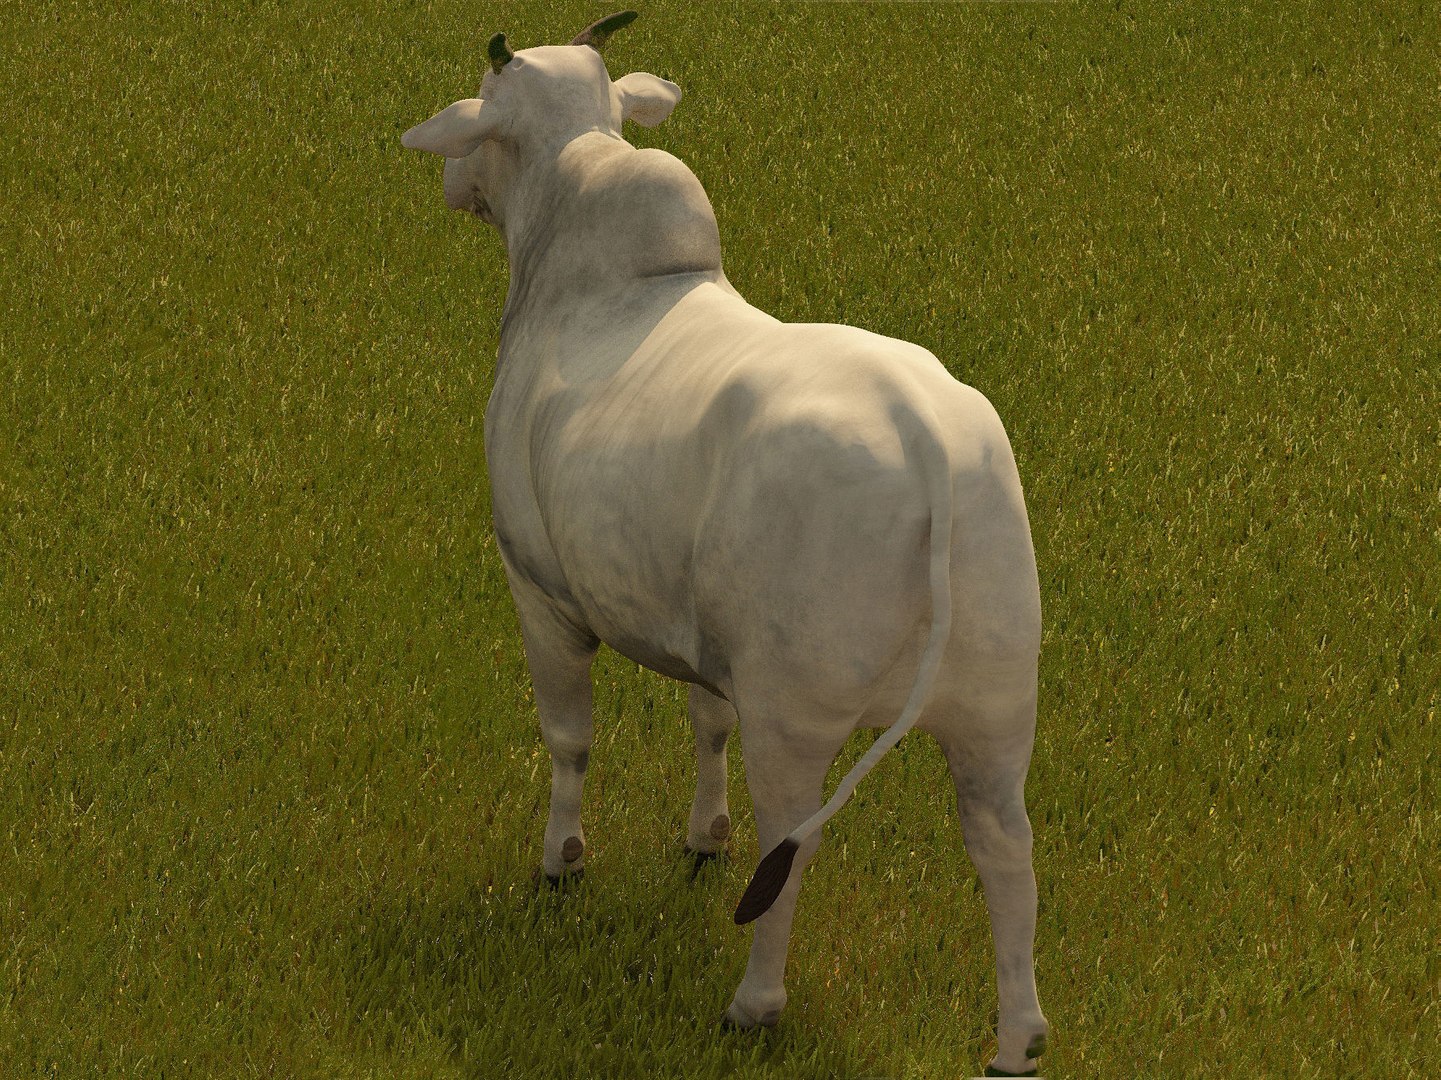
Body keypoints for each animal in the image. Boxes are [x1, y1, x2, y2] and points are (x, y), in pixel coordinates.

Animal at [401, 12, 1049, 1076]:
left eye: (482, 112)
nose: (454, 185)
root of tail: (923, 433)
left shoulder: (537, 587)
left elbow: (569, 739)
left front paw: (561, 861)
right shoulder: (698, 631)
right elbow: (704, 719)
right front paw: (701, 836)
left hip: (796, 712)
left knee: (793, 844)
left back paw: (755, 1002)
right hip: (997, 702)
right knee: (1003, 844)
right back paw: (1017, 1038)